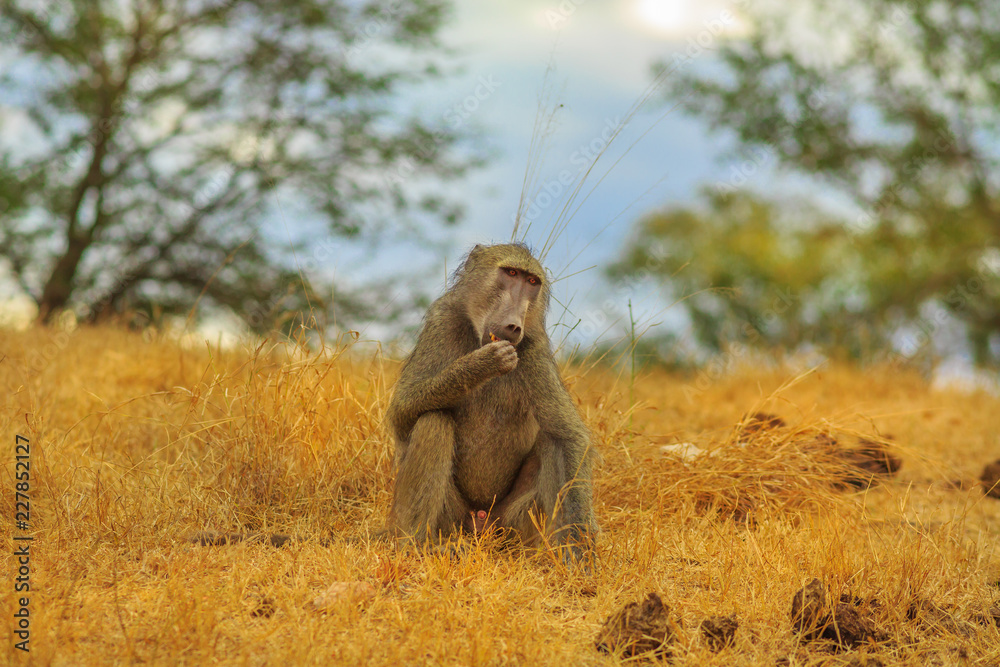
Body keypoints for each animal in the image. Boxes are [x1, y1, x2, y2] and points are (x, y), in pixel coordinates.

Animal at [383, 242, 598, 564]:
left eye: (532, 282)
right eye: (510, 273)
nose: (513, 325)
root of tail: (481, 521)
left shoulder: (533, 346)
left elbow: (568, 437)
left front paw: (580, 549)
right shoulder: (441, 319)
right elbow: (401, 413)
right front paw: (481, 364)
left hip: (511, 524)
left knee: (551, 442)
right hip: (453, 520)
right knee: (434, 421)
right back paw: (417, 545)